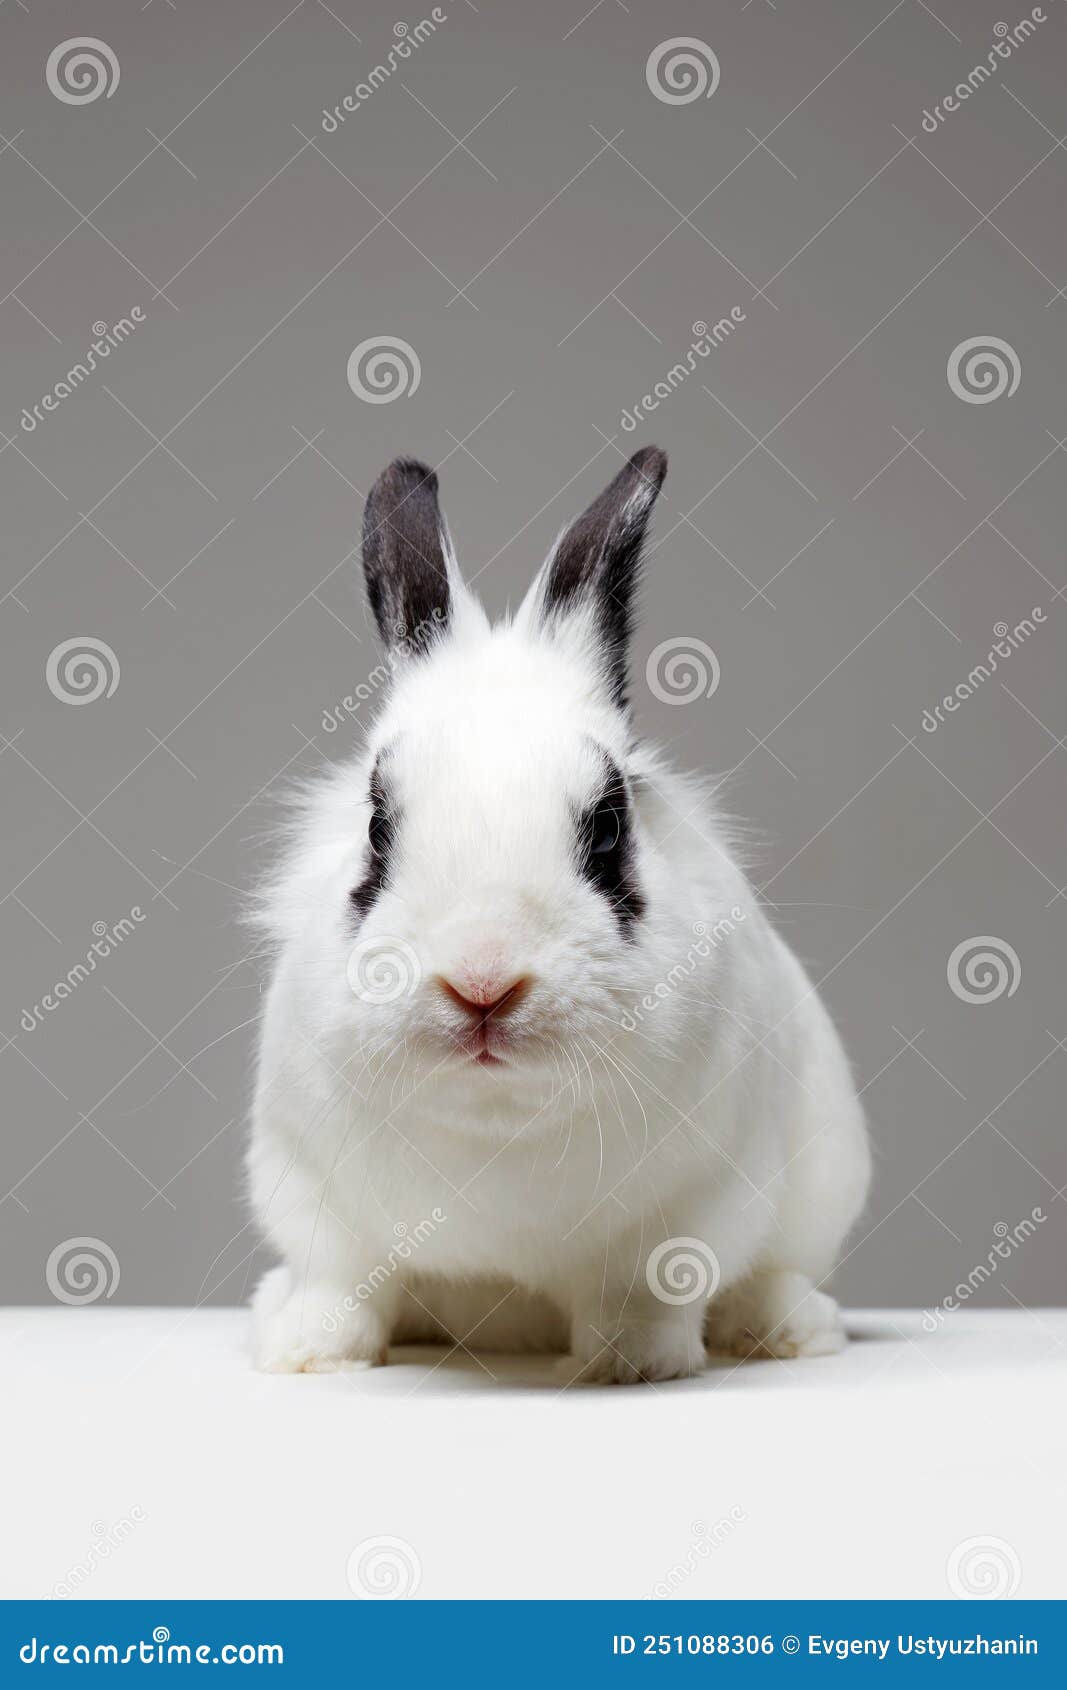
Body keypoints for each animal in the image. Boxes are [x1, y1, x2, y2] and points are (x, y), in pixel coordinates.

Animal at [247, 446, 871, 1383]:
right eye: (377, 828)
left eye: (607, 828)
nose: (482, 980)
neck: (497, 1126)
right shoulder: (311, 1190)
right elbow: (342, 1283)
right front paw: (306, 1352)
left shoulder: (692, 1204)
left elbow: (648, 1288)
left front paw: (632, 1364)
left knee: (777, 1269)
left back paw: (784, 1329)